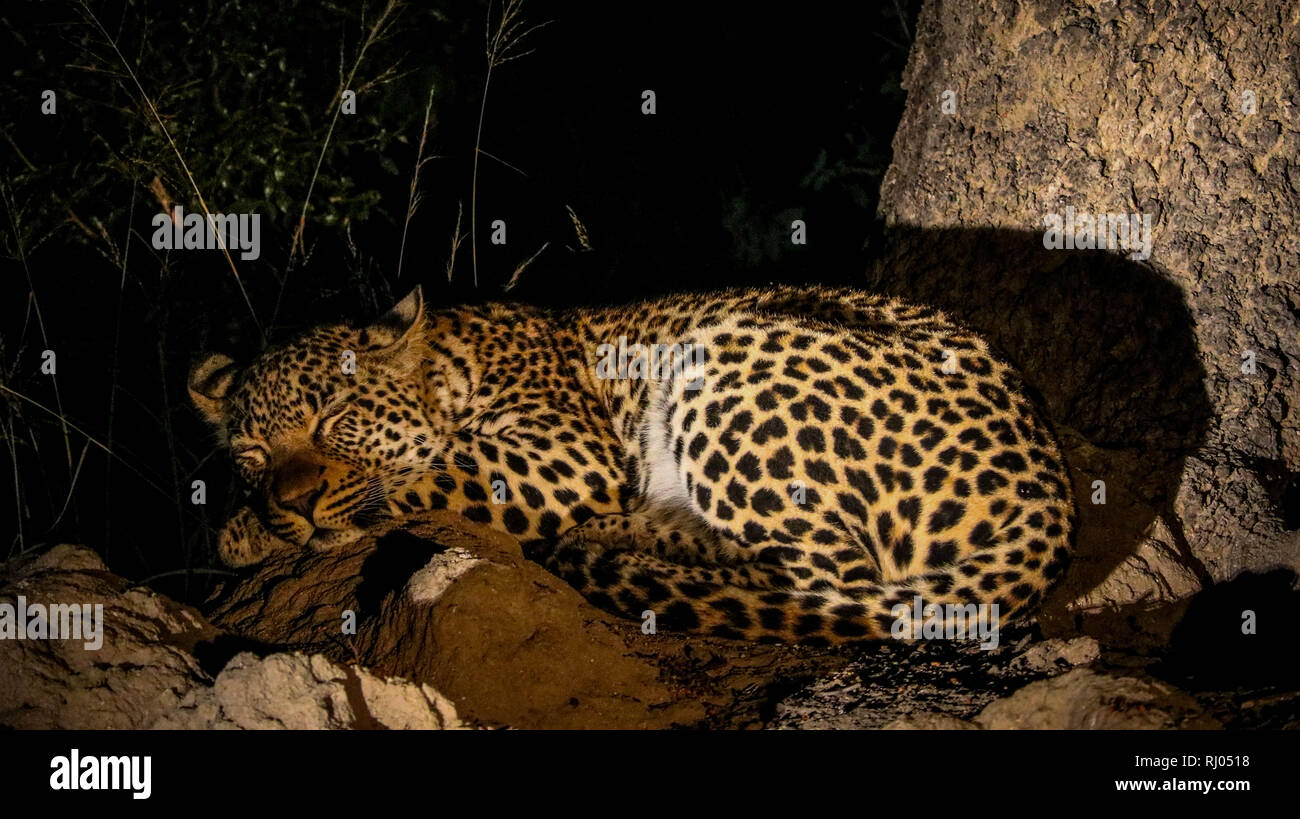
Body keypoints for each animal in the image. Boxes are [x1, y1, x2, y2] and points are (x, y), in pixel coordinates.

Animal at [190, 285, 1075, 644]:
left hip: (730, 353)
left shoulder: (560, 455)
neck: (449, 364)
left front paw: (246, 534)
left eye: (336, 419)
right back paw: (631, 535)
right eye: (251, 454)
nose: (291, 503)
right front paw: (251, 522)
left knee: (831, 581)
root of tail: (1054, 498)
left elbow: (420, 480)